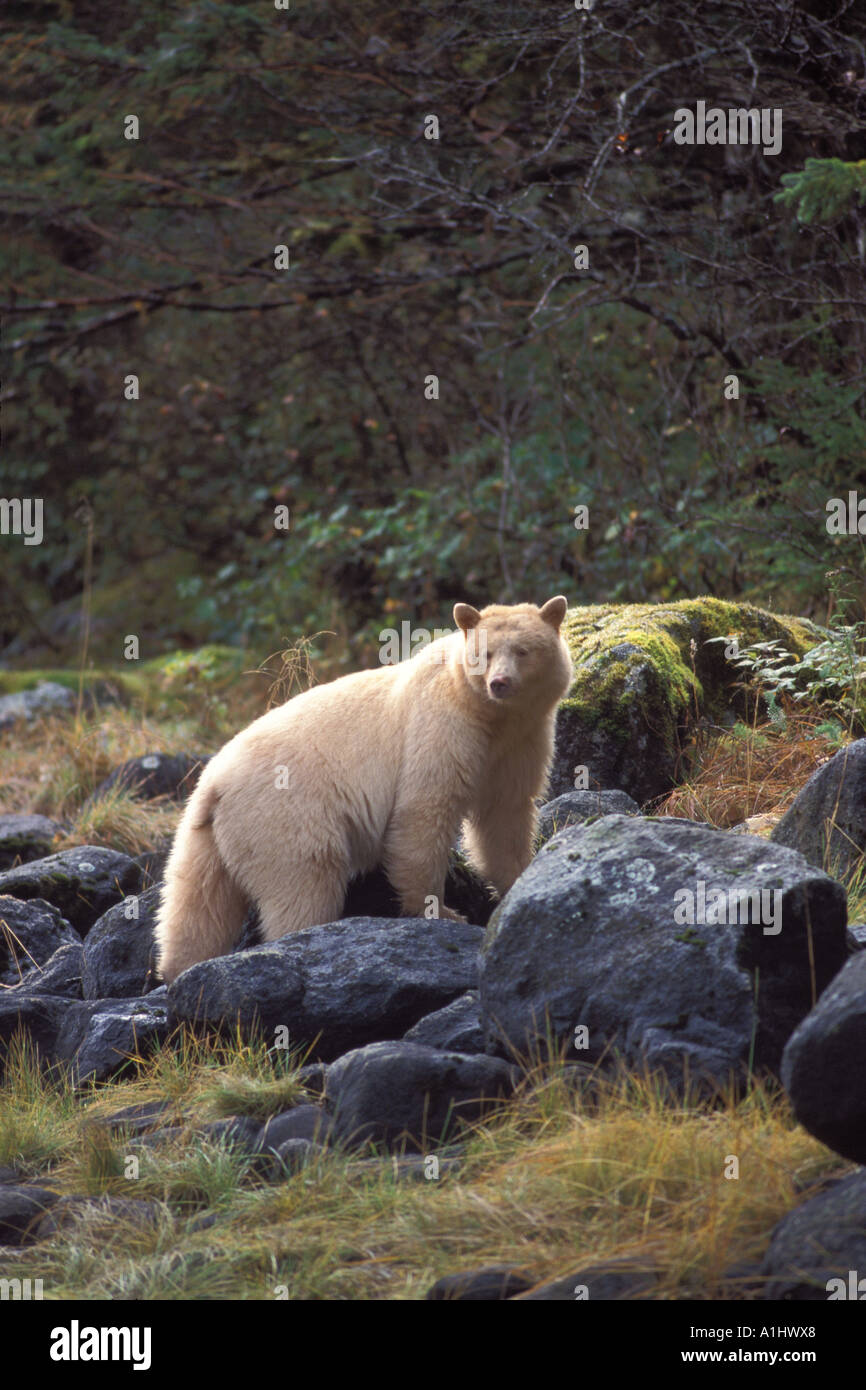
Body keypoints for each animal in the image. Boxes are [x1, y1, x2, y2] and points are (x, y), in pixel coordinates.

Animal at [154, 596, 573, 982]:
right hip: (284, 815)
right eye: (483, 654)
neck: (487, 714)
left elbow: (505, 815)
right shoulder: (441, 728)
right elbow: (424, 812)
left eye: (522, 650)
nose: (500, 683)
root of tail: (214, 783)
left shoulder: (520, 742)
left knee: (197, 903)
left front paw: (517, 881)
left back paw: (179, 966)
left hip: (209, 836)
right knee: (305, 881)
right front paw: (442, 912)